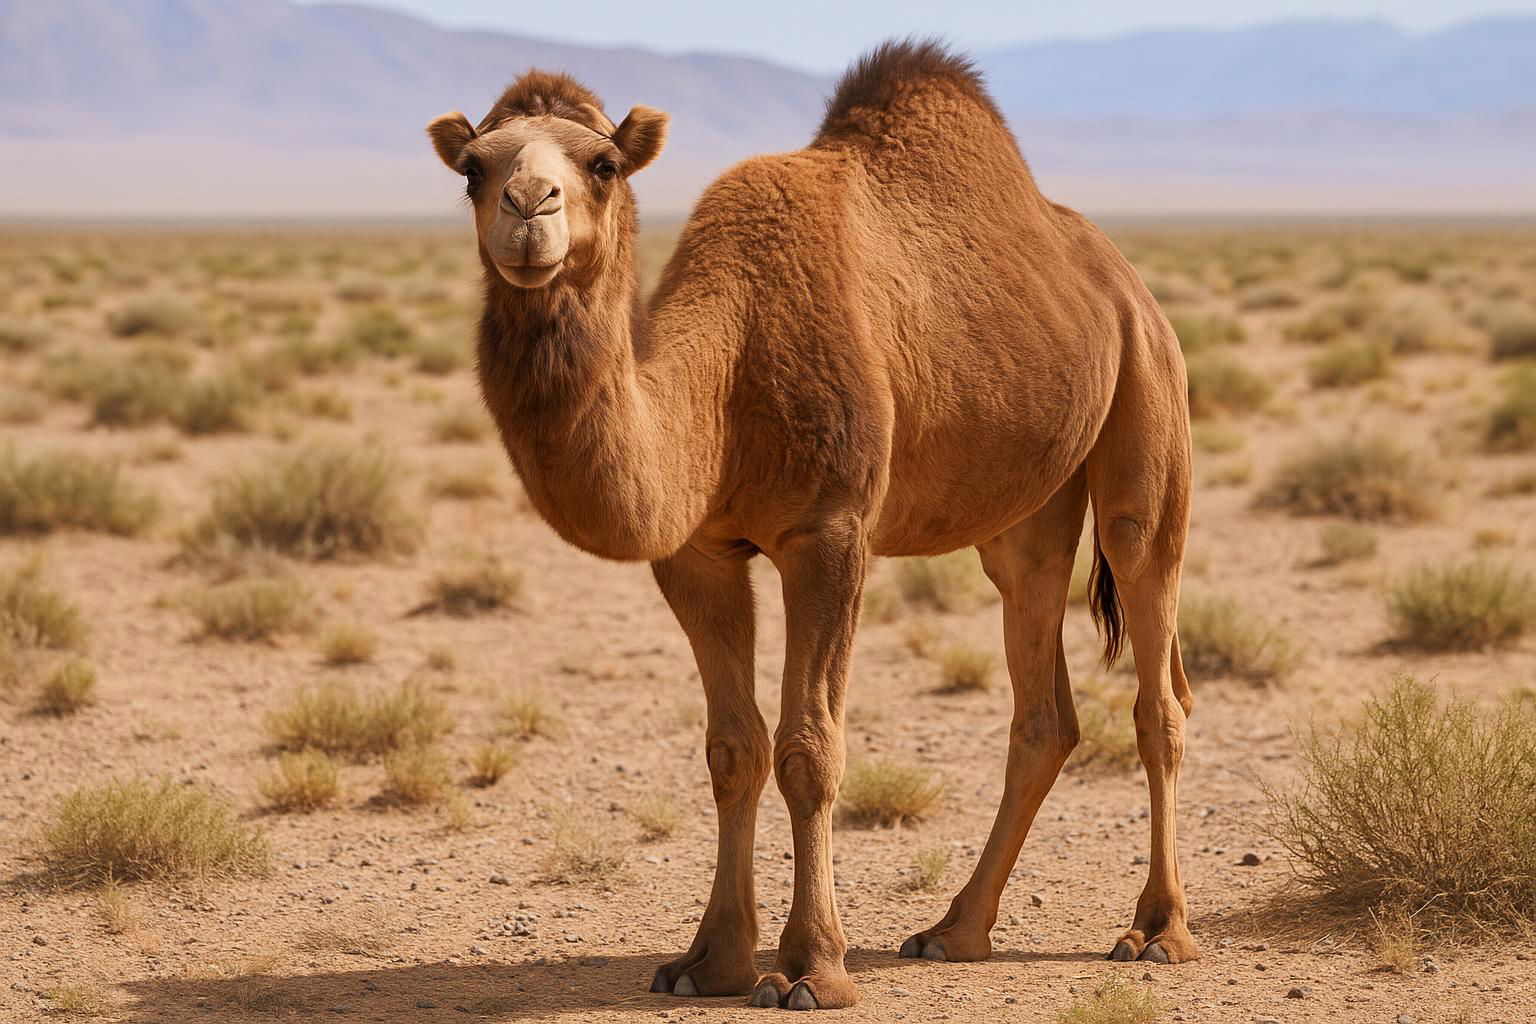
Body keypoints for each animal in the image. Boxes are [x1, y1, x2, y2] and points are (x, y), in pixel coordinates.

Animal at [427, 40, 1196, 1011]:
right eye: (472, 168)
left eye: (601, 164)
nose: (529, 207)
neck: (723, 378)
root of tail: (1123, 277)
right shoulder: (698, 554)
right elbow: (732, 748)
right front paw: (710, 960)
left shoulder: (830, 534)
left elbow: (809, 747)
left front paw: (808, 969)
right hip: (1026, 506)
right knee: (1042, 701)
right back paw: (954, 931)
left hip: (1148, 406)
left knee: (1154, 664)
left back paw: (1159, 931)